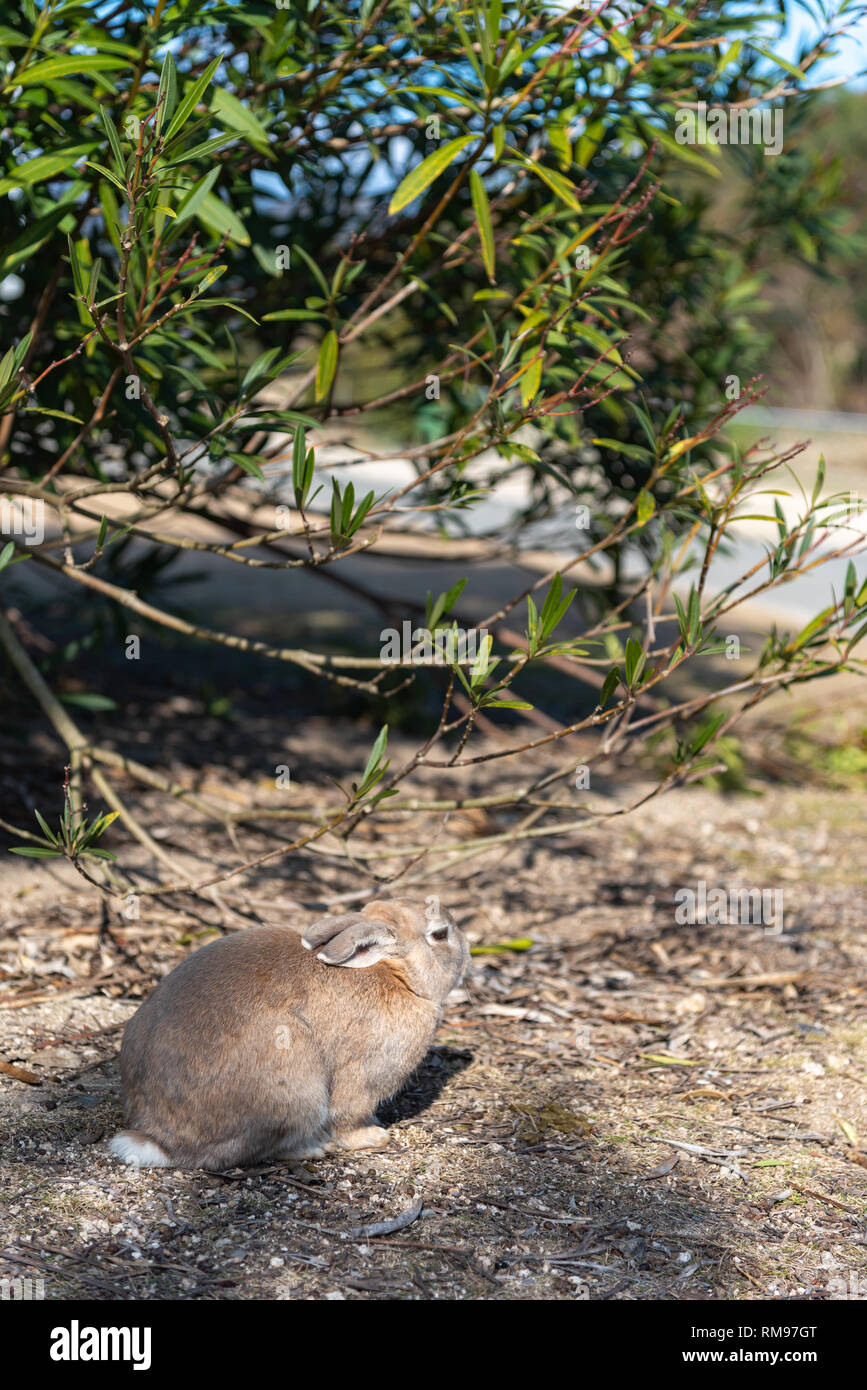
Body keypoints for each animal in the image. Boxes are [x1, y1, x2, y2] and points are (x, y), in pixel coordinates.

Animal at [108, 896, 468, 1170]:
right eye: (440, 934)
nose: (467, 948)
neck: (398, 975)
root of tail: (160, 1141)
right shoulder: (362, 1077)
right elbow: (348, 1115)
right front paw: (373, 1137)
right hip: (296, 1085)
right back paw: (313, 1148)